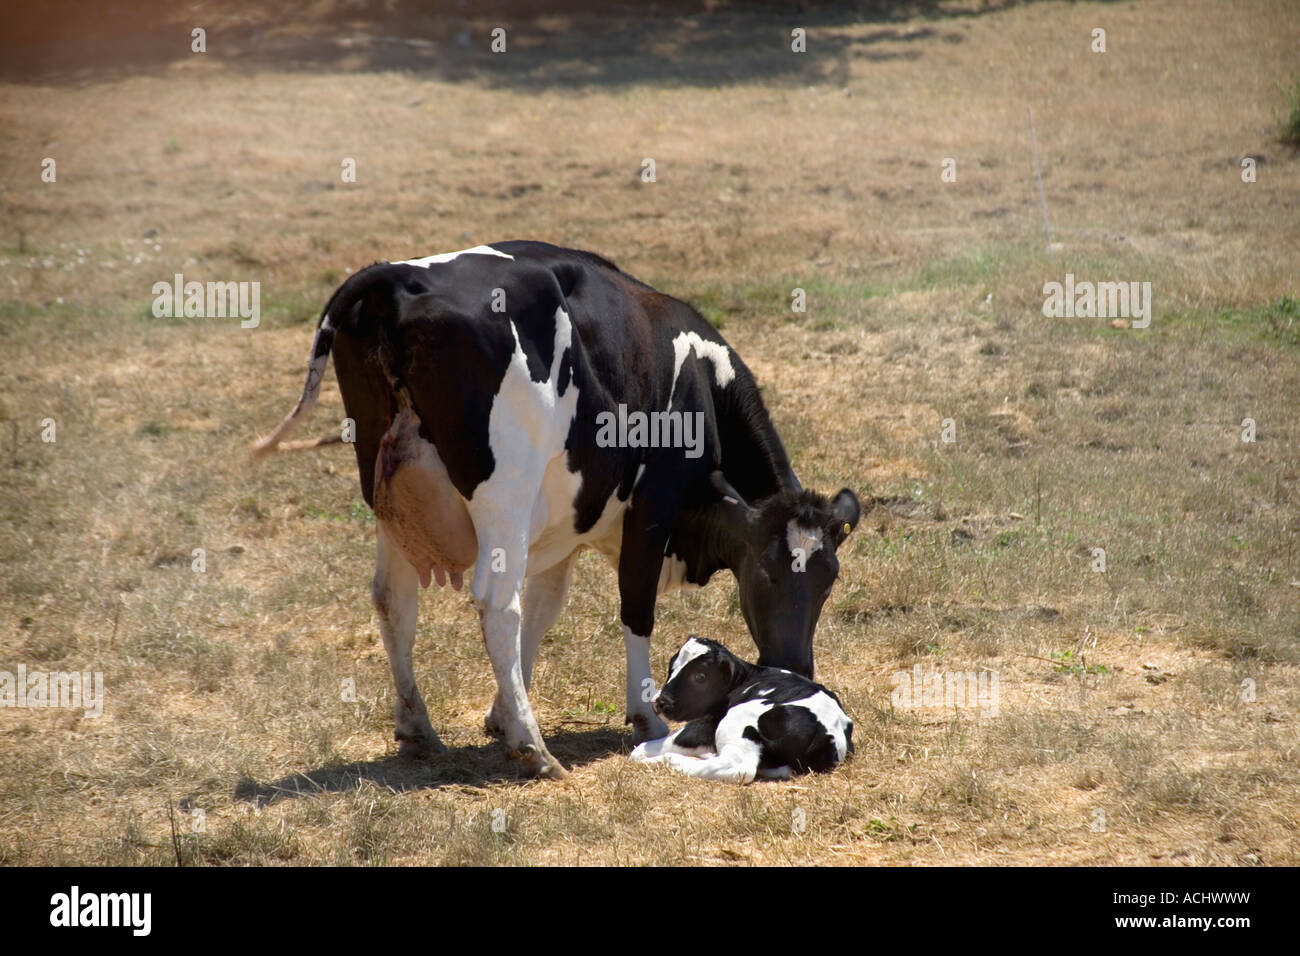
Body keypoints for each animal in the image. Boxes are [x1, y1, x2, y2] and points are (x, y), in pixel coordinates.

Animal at [629, 635, 853, 783]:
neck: (745, 676)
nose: (660, 702)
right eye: (672, 665)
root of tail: (827, 733)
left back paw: (667, 760)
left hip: (737, 718)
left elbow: (639, 750)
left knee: (739, 769)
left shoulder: (703, 727)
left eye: (700, 676)